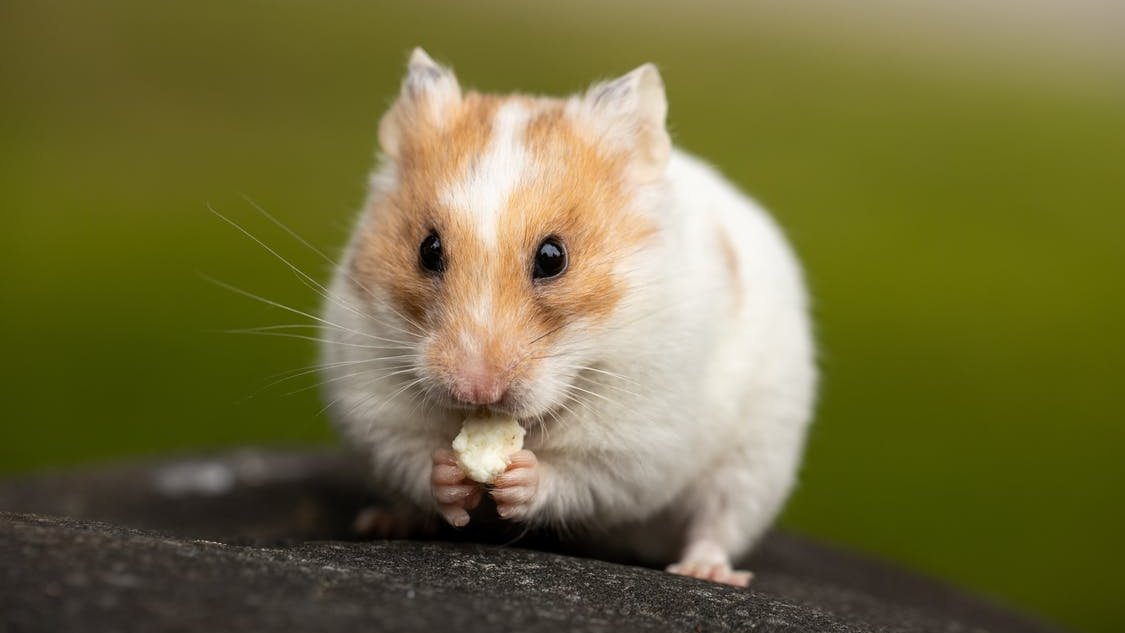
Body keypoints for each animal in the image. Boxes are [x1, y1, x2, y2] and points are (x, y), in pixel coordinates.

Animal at [320, 48, 817, 586]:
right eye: (428, 250)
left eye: (553, 257)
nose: (476, 391)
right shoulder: (375, 403)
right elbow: (412, 456)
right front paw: (451, 475)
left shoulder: (637, 442)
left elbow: (579, 477)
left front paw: (519, 477)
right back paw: (385, 522)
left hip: (757, 458)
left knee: (719, 519)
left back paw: (705, 571)